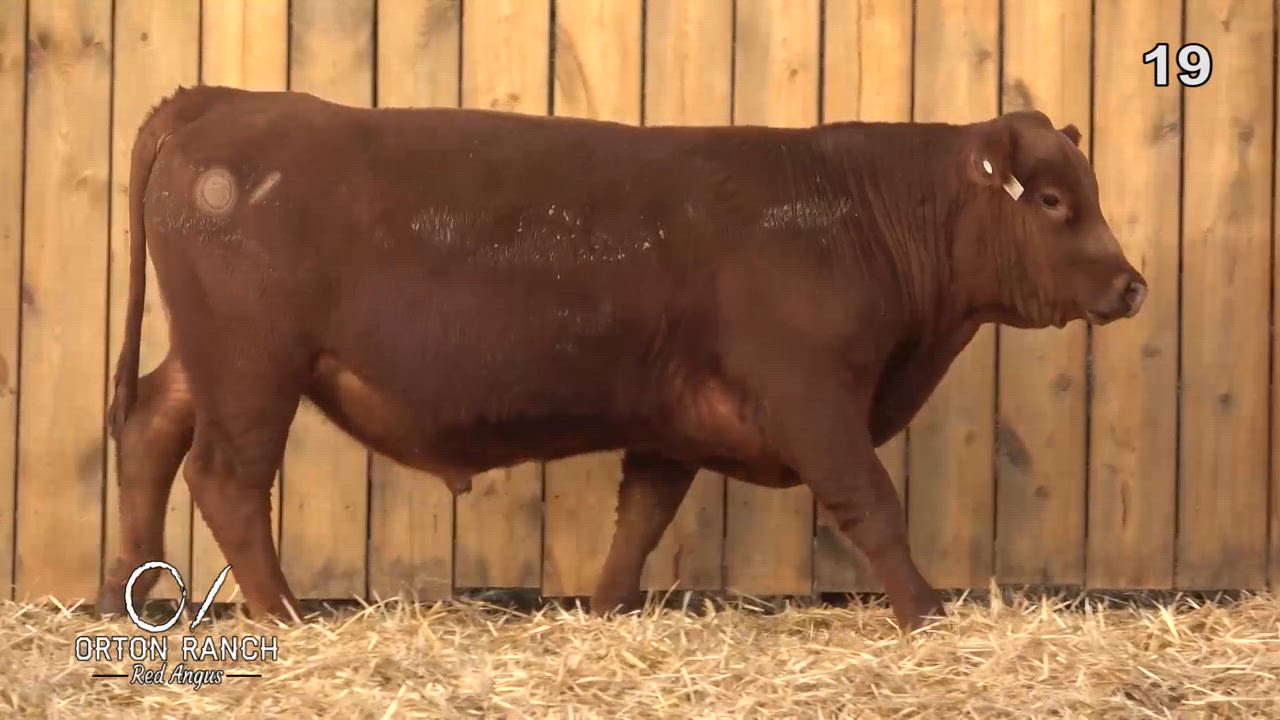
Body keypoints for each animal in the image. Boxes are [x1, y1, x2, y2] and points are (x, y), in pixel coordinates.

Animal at [97, 85, 1146, 632]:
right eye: (1055, 200)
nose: (1131, 285)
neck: (854, 213)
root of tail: (225, 102)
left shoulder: (674, 422)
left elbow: (637, 523)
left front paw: (601, 613)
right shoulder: (811, 399)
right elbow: (873, 505)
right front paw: (925, 614)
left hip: (210, 359)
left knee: (148, 430)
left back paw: (132, 595)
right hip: (254, 363)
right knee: (228, 478)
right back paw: (280, 615)